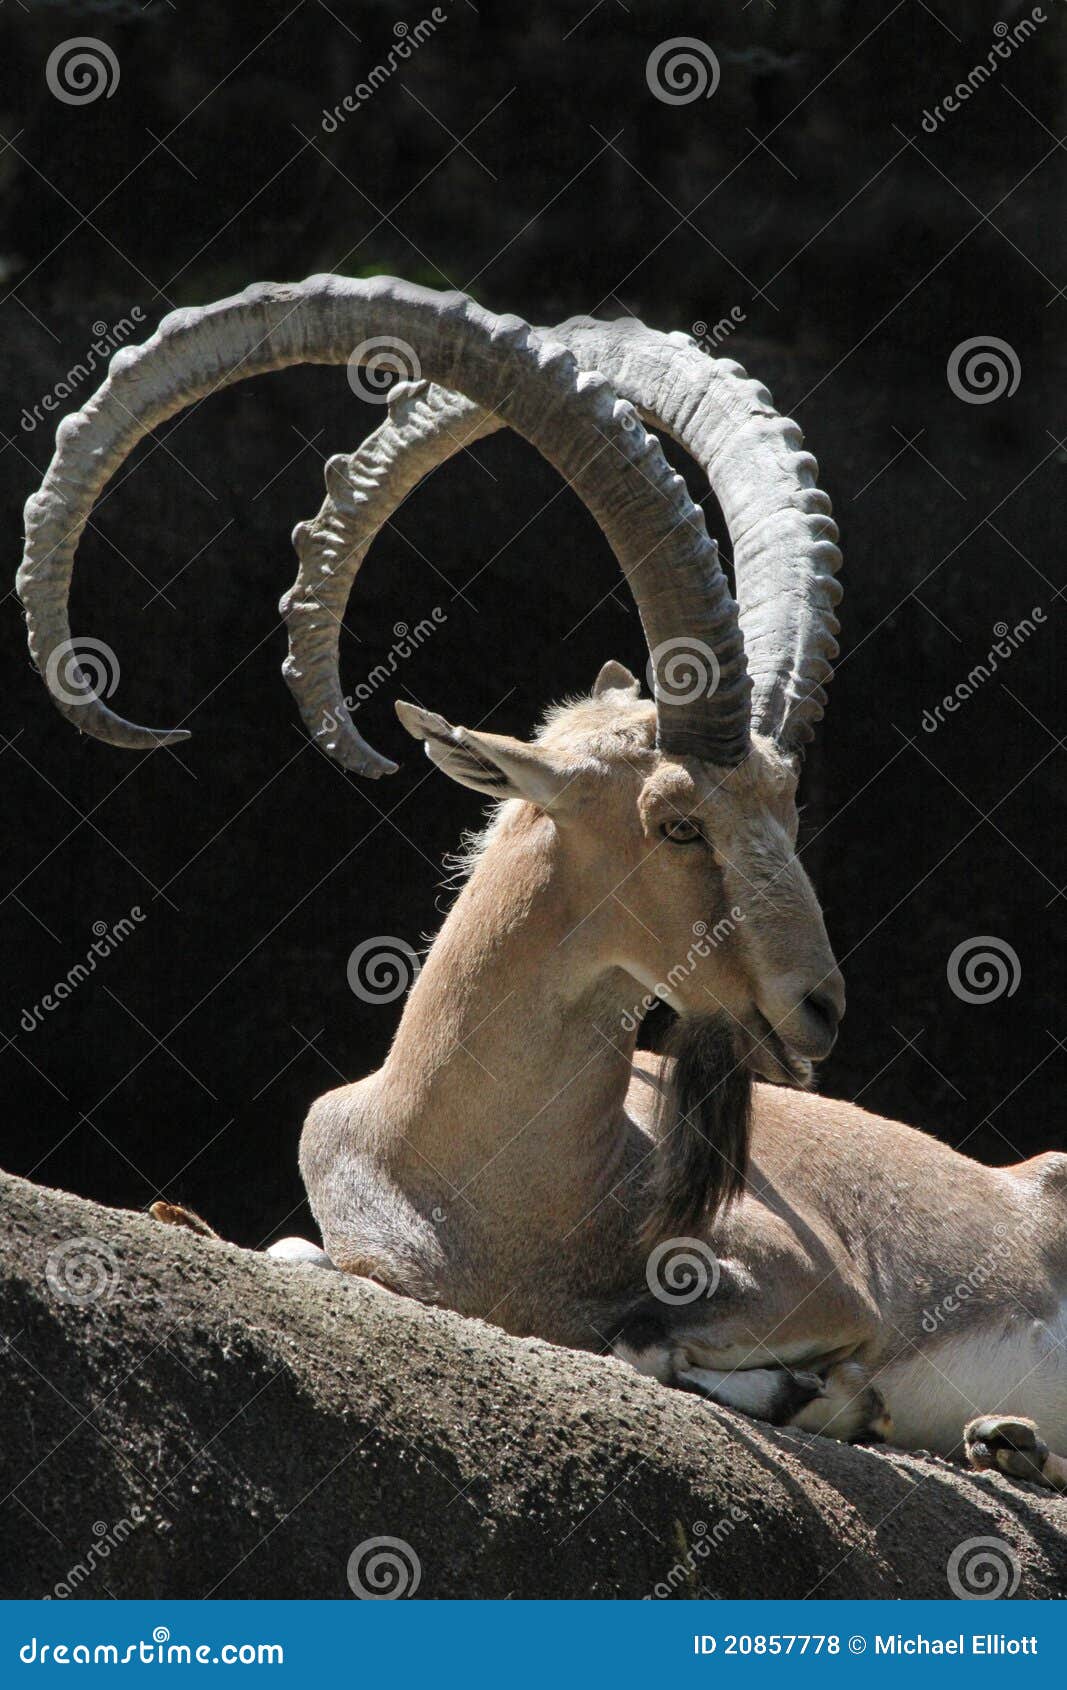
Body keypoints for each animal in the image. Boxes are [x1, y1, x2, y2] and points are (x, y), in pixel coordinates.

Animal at [17, 275, 1067, 1493]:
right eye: (675, 821)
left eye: (789, 807)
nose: (818, 1007)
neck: (468, 1184)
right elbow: (299, 1253)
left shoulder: (822, 1284)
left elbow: (646, 1340)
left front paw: (829, 1398)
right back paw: (1002, 1438)